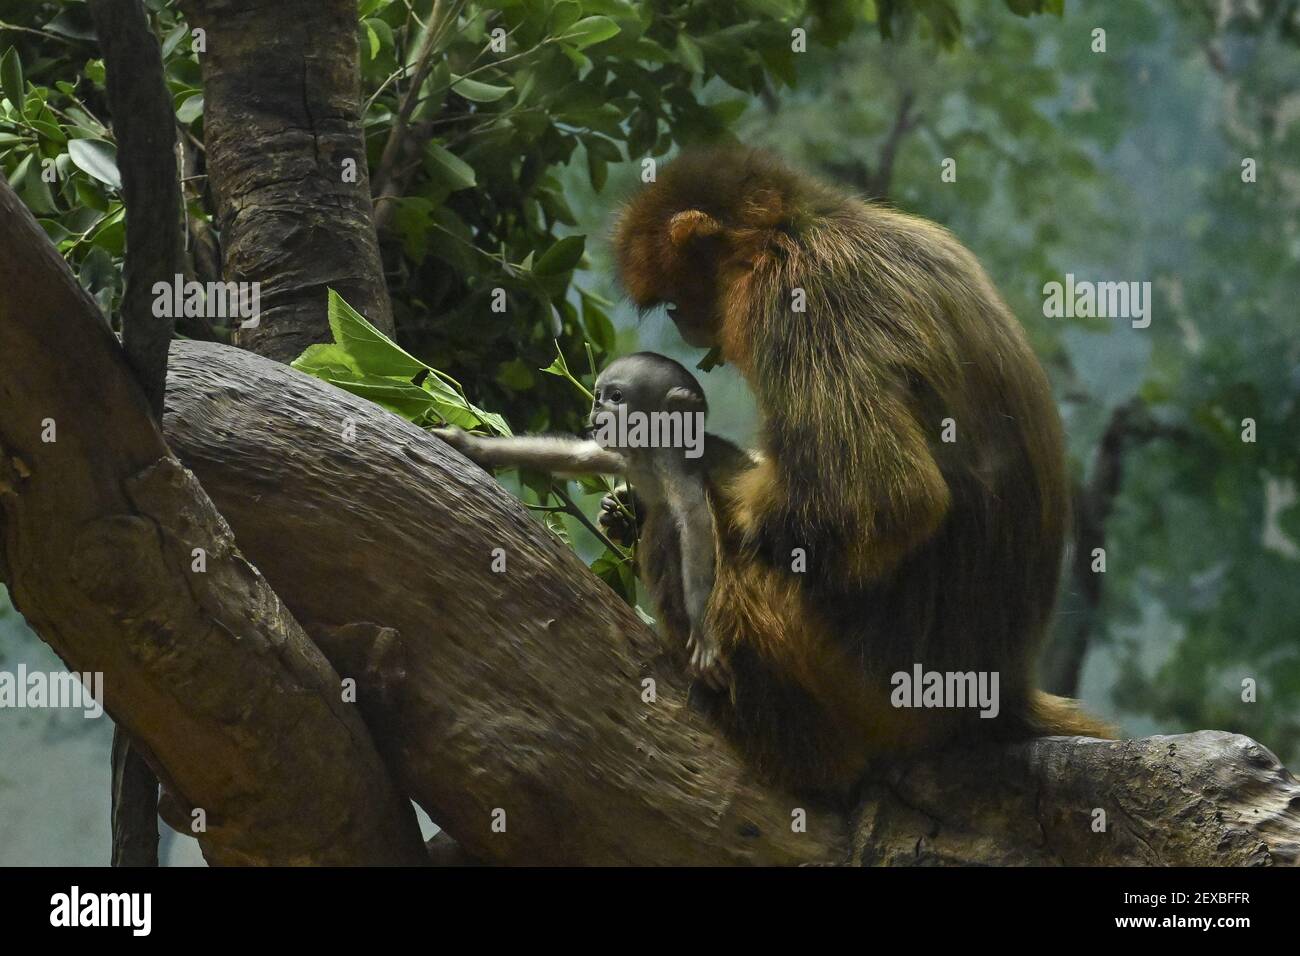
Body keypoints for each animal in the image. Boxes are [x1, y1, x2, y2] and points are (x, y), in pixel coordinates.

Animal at [435, 352, 753, 687]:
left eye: (616, 397)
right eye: (598, 394)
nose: (596, 406)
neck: (647, 453)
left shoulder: (674, 462)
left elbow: (695, 521)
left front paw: (705, 635)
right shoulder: (623, 453)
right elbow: (574, 455)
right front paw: (467, 443)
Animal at [611, 147, 1115, 791]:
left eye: (679, 297)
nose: (677, 317)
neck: (807, 225)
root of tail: (1001, 694)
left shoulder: (794, 296)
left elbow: (888, 498)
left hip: (855, 680)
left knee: (686, 531)